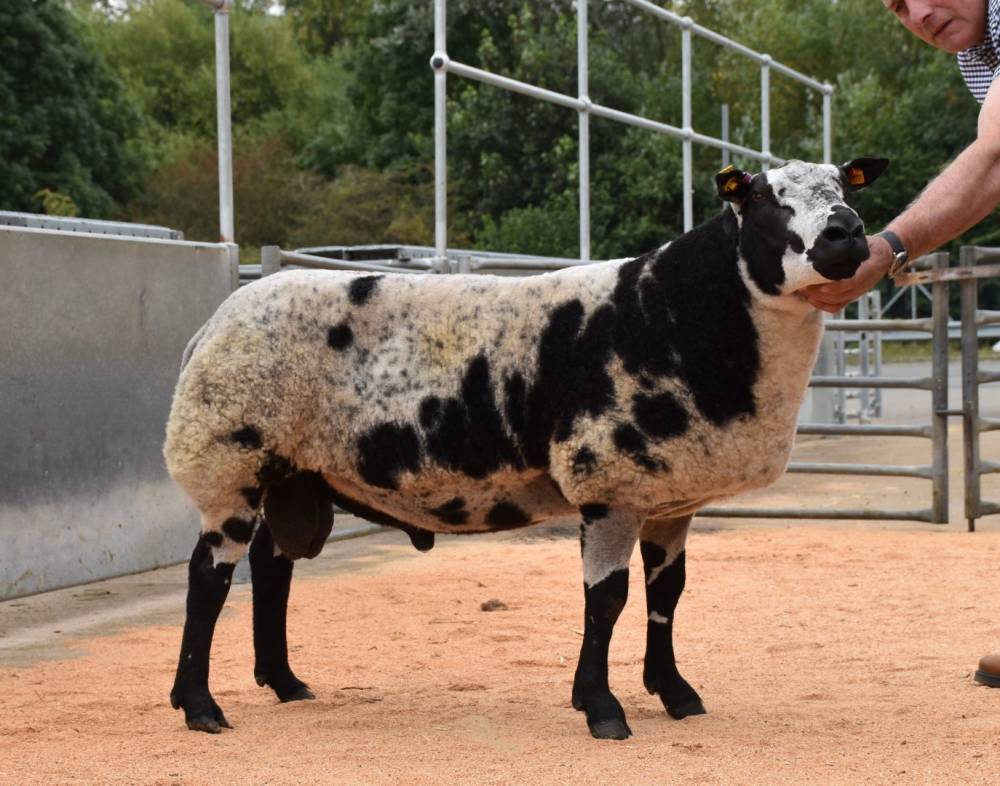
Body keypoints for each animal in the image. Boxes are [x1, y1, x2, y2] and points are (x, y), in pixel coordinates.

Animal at [165, 157, 887, 739]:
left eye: (845, 186)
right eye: (765, 196)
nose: (848, 232)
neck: (684, 313)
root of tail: (211, 325)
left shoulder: (670, 496)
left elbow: (668, 595)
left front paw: (676, 694)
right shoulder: (607, 480)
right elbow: (608, 599)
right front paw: (602, 709)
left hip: (291, 471)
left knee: (271, 569)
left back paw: (286, 683)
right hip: (227, 459)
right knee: (208, 578)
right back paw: (199, 706)